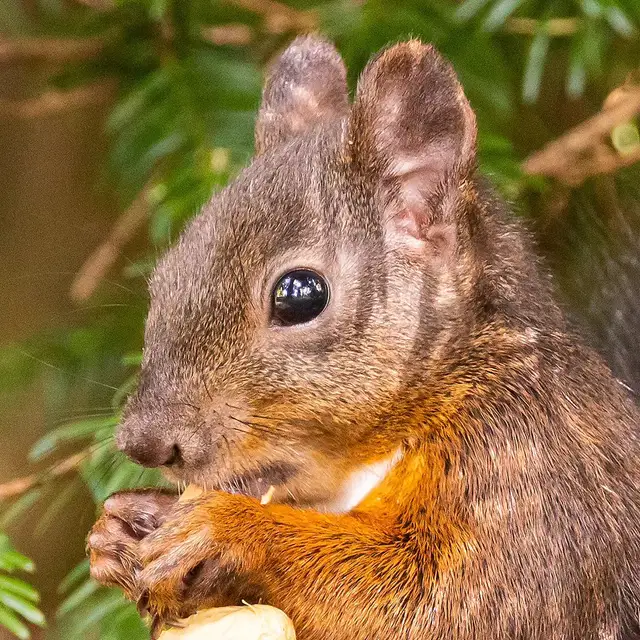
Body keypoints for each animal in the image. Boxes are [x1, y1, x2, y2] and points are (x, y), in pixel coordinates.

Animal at [87, 36, 640, 640]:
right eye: (162, 280)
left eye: (300, 294)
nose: (143, 443)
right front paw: (123, 529)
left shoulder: (532, 482)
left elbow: (441, 604)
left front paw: (232, 527)